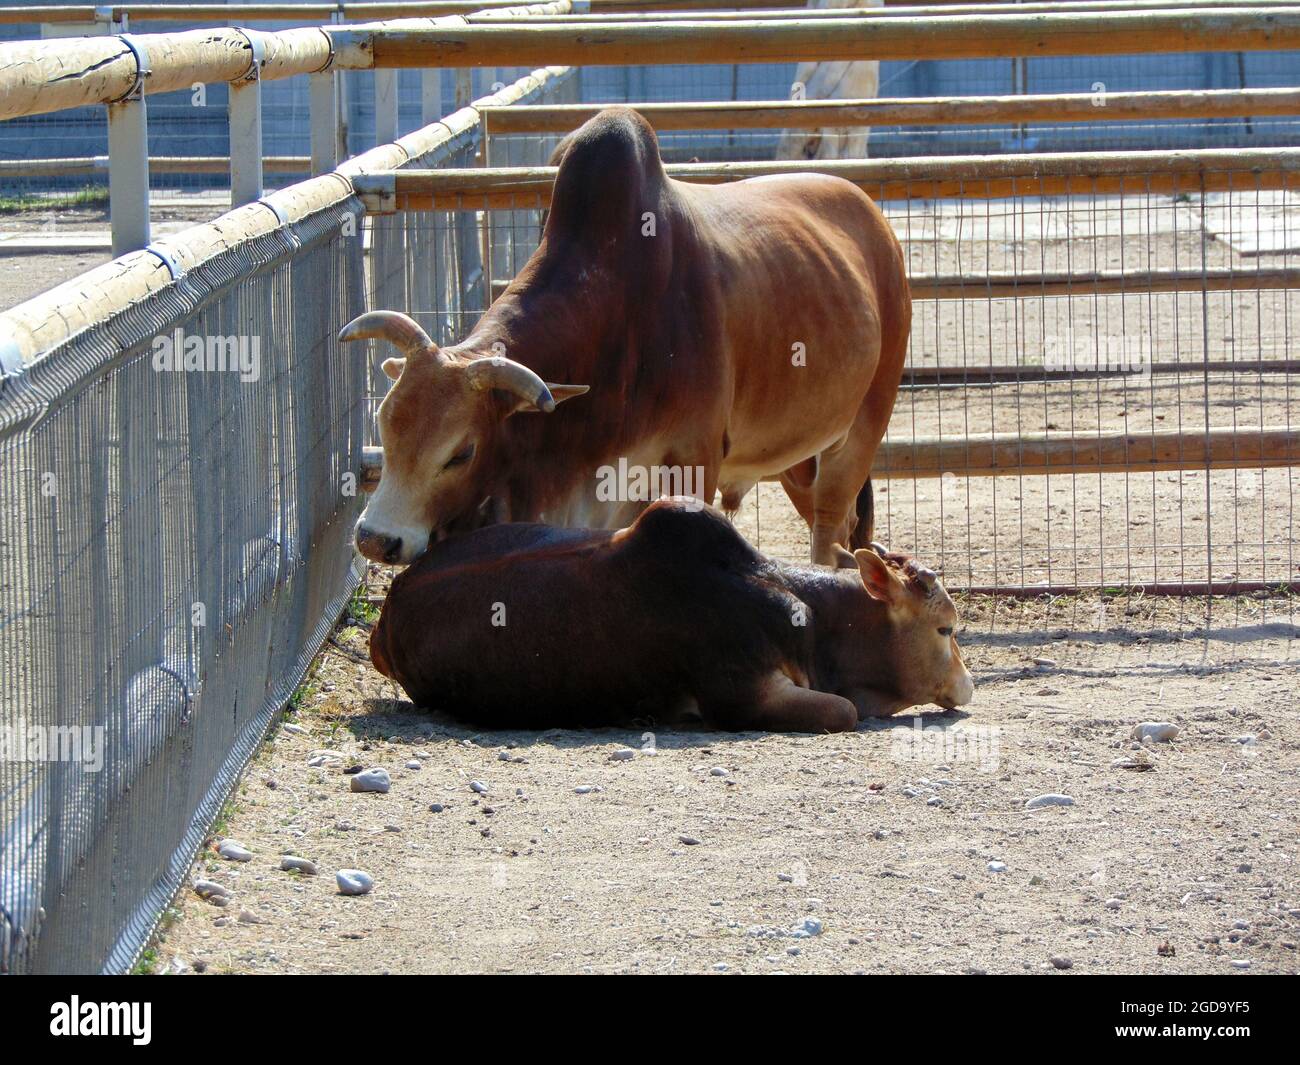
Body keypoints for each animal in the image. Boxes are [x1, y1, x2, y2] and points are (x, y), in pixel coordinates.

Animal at [342, 105, 911, 568]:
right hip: (798, 454)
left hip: (866, 421)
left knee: (829, 531)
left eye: (461, 452)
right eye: (384, 425)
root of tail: (870, 214)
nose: (376, 540)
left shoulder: (692, 459)